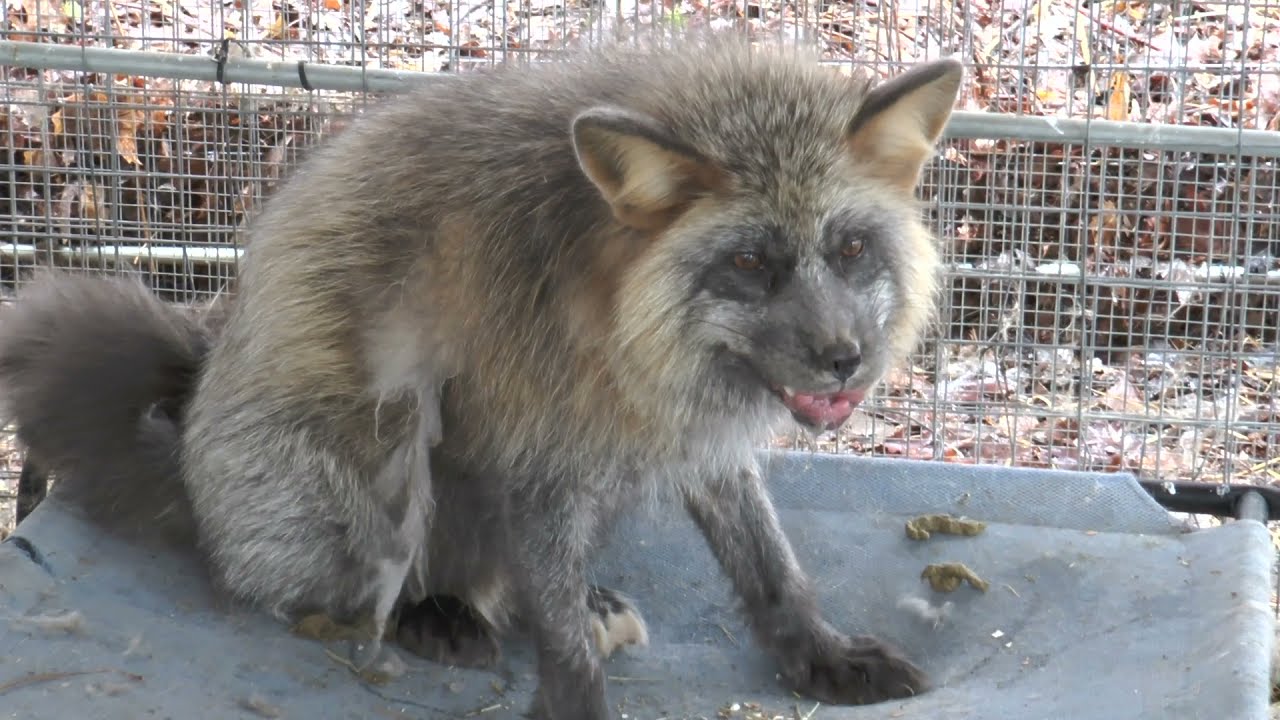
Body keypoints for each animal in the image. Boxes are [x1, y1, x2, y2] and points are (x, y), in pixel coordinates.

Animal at [0, 33, 962, 720]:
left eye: (851, 248)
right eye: (752, 262)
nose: (846, 359)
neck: (622, 336)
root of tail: (193, 471)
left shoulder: (694, 442)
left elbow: (773, 570)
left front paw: (822, 657)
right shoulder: (537, 456)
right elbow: (564, 645)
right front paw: (573, 702)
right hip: (379, 455)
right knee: (326, 595)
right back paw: (431, 614)